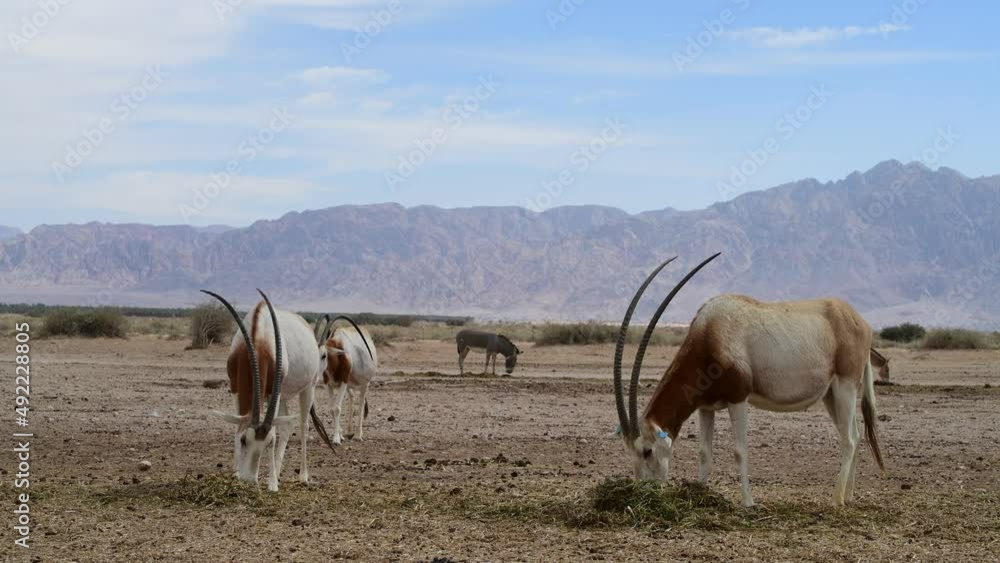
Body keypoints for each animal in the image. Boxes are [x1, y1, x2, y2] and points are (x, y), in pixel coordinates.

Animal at [314, 316, 378, 445]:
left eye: (324, 355)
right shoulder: (329, 384)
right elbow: (331, 408)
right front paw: (341, 435)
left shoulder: (344, 382)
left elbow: (337, 408)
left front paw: (336, 439)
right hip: (349, 386)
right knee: (352, 398)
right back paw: (349, 431)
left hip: (365, 384)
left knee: (361, 403)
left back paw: (358, 435)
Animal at [613, 255, 885, 507]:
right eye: (629, 452)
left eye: (647, 450)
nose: (644, 491)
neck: (711, 335)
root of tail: (861, 323)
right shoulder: (705, 407)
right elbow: (704, 452)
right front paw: (700, 492)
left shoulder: (738, 398)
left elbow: (739, 451)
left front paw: (748, 503)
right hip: (831, 394)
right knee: (855, 434)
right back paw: (849, 495)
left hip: (845, 387)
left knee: (849, 439)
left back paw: (836, 500)